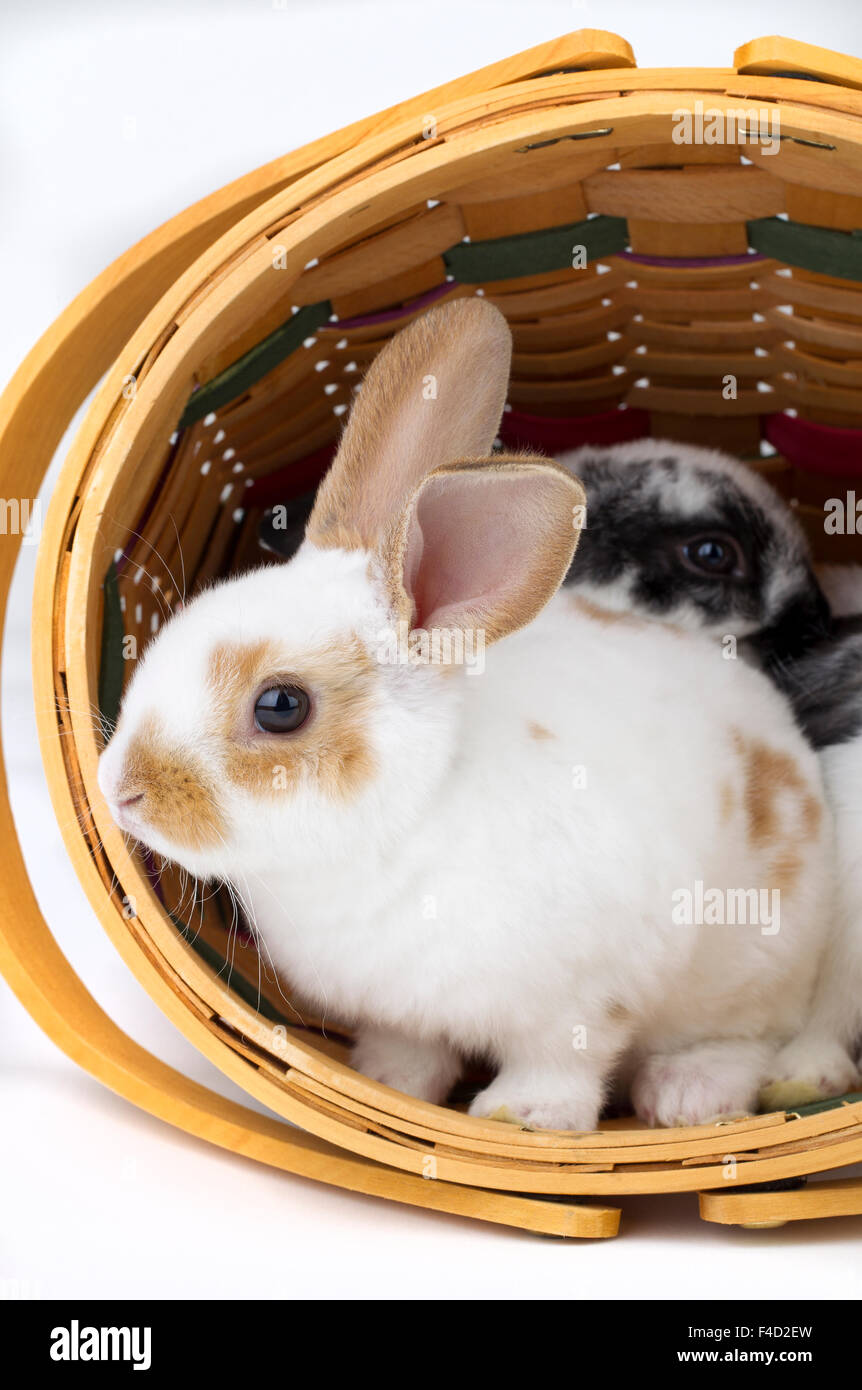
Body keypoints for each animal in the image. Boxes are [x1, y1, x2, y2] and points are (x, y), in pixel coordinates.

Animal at [97, 297, 835, 1131]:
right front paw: (389, 1082)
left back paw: (686, 1095)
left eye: (281, 707)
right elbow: (412, 1047)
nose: (121, 790)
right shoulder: (399, 1009)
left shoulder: (583, 1001)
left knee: (750, 1039)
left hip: (754, 964)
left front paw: (525, 1117)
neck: (405, 824)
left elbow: (562, 1062)